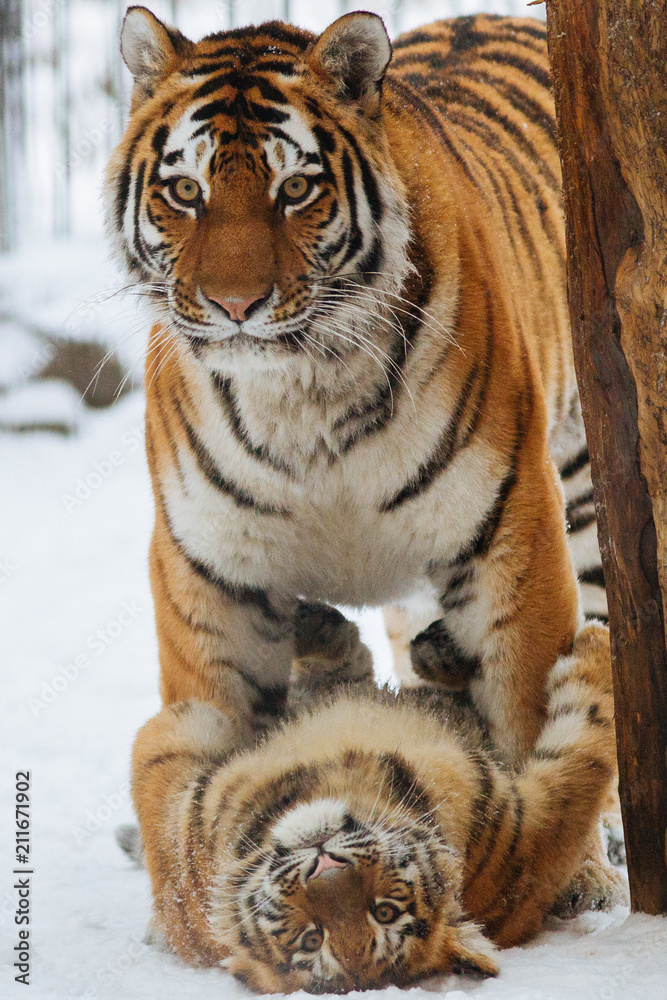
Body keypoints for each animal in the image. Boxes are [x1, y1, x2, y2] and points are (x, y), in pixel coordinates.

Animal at [105, 7, 622, 882]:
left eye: (295, 189)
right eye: (185, 191)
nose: (234, 304)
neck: (300, 395)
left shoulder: (507, 531)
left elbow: (527, 709)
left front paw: (574, 878)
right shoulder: (210, 570)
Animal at [128, 613, 624, 994]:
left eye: (384, 912)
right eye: (311, 940)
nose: (323, 864)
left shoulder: (526, 833)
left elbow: (587, 759)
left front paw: (599, 643)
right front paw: (601, 642)